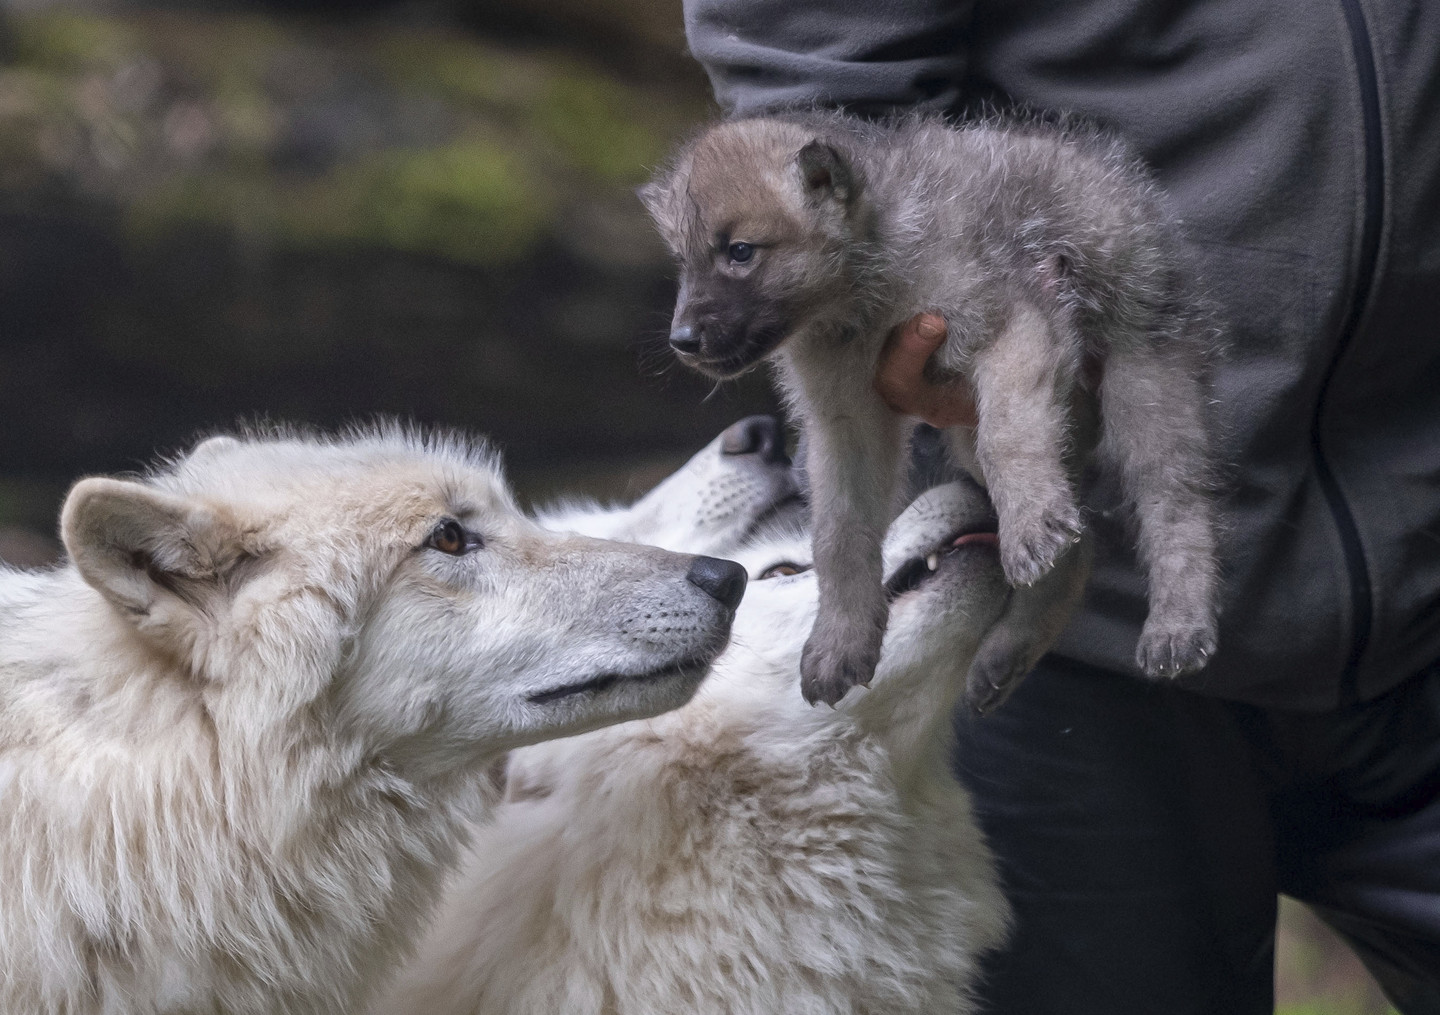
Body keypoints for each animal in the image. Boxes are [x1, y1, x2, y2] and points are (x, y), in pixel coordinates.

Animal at [642, 111, 1221, 708]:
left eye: (740, 252)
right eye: (683, 261)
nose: (682, 341)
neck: (867, 290)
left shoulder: (1014, 327)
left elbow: (1009, 436)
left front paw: (1030, 524)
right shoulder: (846, 424)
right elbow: (838, 536)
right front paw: (840, 639)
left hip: (1143, 381)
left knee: (1175, 503)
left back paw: (1178, 624)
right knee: (1084, 543)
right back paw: (1009, 648)